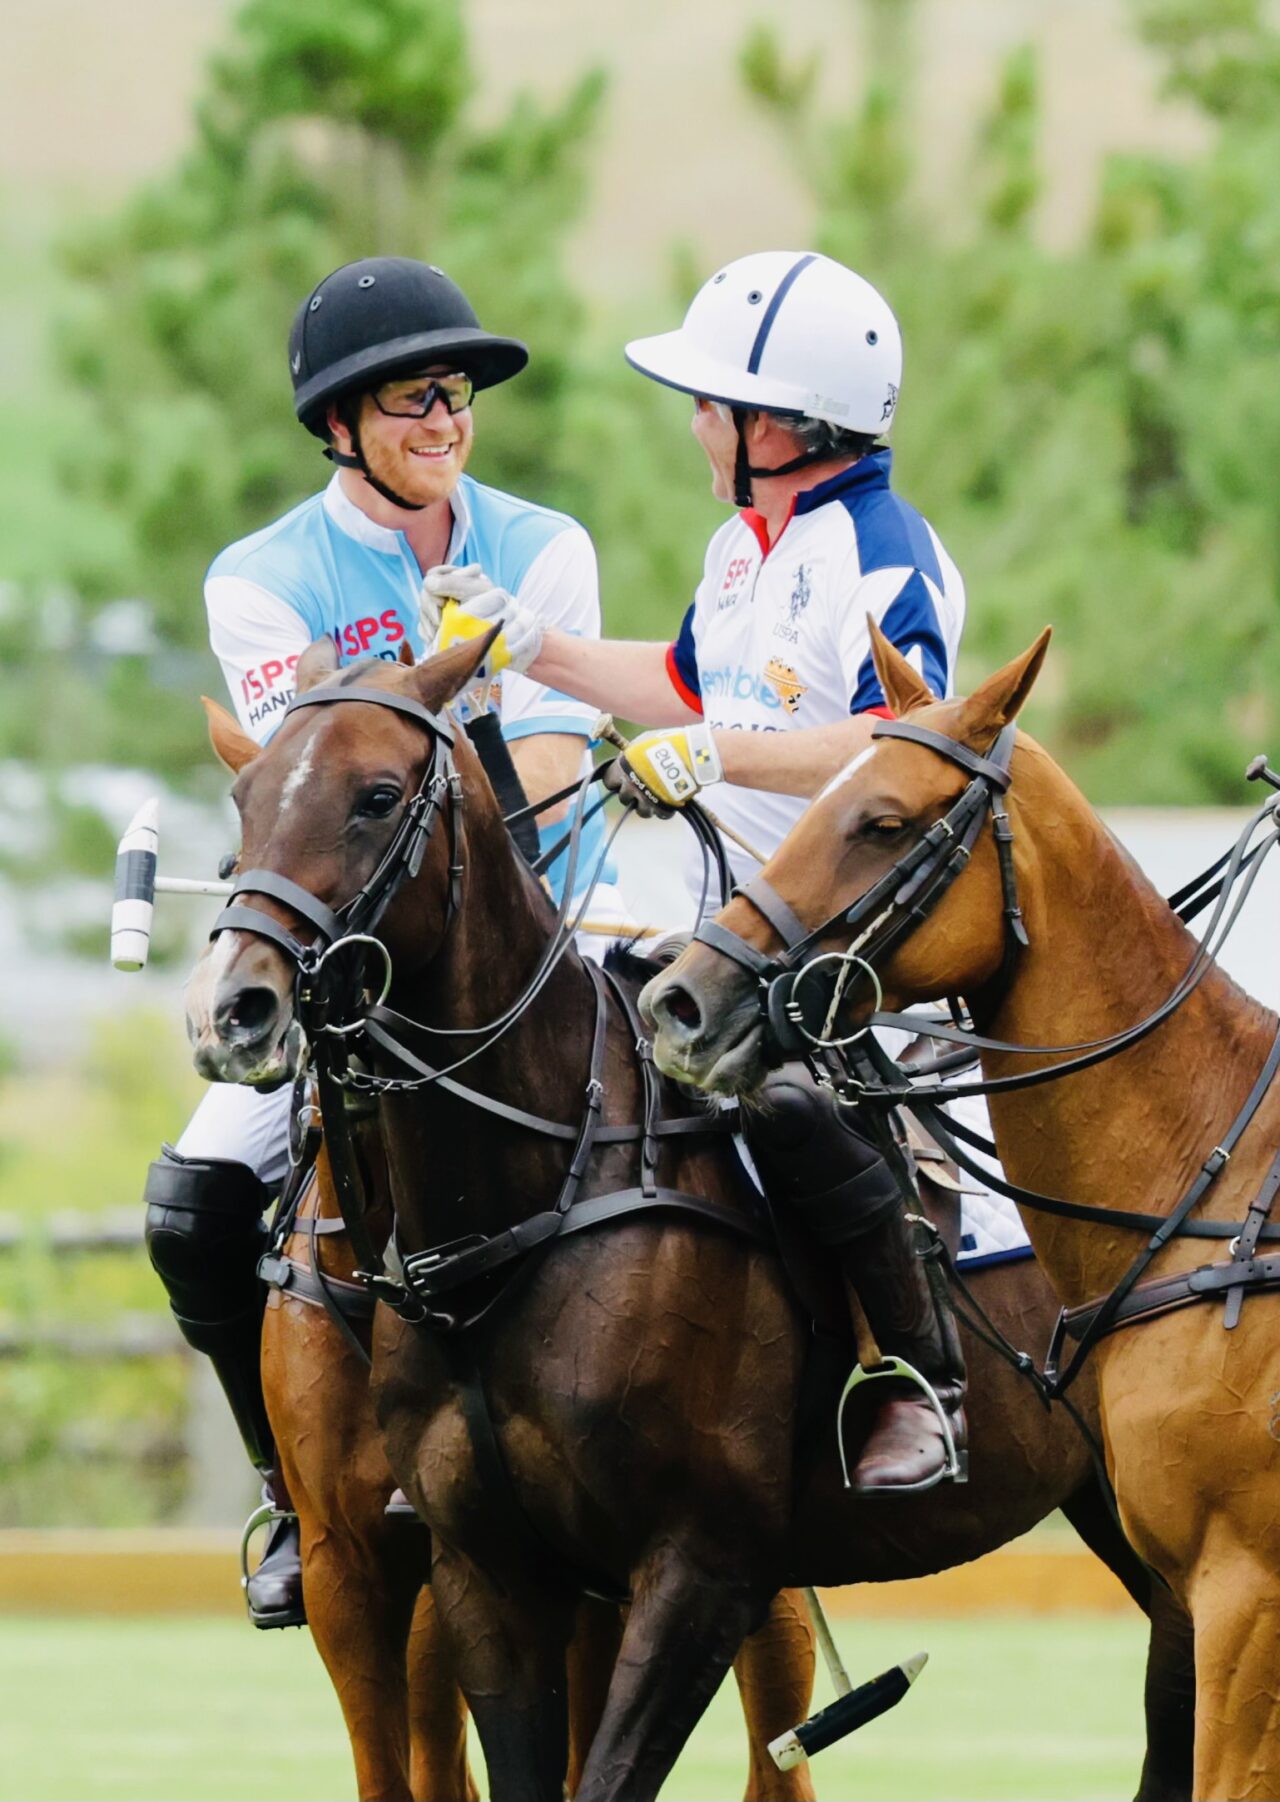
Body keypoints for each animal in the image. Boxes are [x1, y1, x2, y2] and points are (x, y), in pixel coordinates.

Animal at [186, 631, 1195, 1802]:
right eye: (245, 794)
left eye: (378, 795)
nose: (230, 1008)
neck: (521, 1206)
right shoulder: (463, 1568)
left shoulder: (695, 1564)